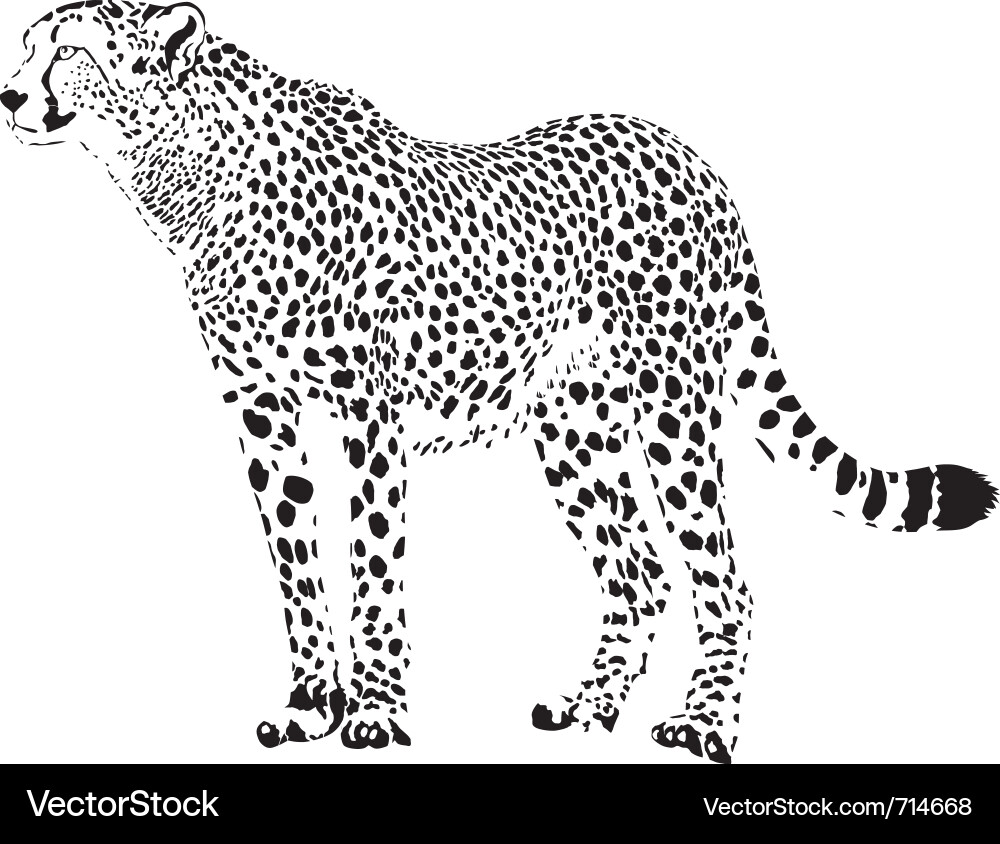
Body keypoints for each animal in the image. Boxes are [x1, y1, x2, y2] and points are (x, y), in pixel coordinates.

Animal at [2, 0, 994, 763]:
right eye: (26, 42)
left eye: (72, 52)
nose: (10, 93)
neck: (188, 178)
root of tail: (687, 153)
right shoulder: (262, 413)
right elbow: (298, 565)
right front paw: (308, 707)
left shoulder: (368, 415)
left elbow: (373, 566)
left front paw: (375, 712)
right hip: (573, 431)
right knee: (640, 573)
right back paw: (589, 707)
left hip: (674, 410)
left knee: (724, 582)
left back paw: (703, 722)